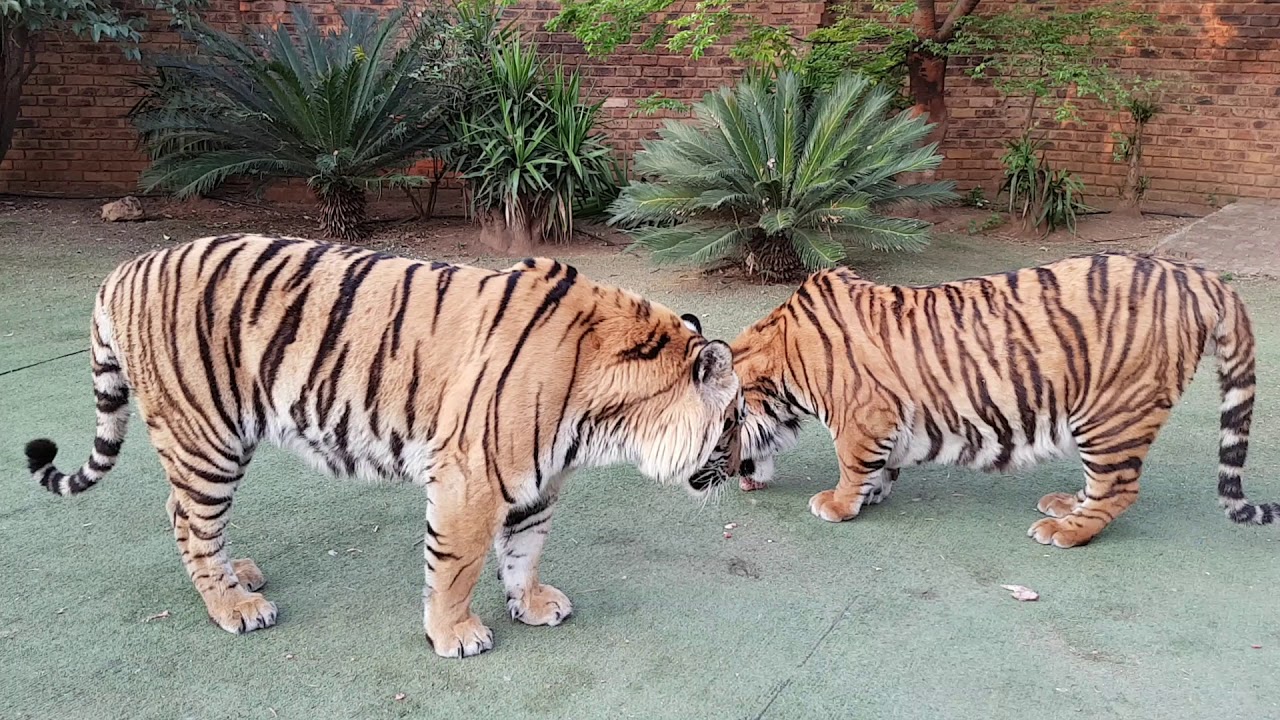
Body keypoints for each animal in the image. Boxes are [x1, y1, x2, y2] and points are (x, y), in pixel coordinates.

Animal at [24, 234, 742, 658]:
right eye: (734, 420)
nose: (740, 470)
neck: (607, 420)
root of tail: (121, 270)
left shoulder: (537, 483)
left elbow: (526, 549)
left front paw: (531, 603)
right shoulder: (471, 480)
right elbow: (456, 566)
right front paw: (454, 634)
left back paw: (240, 574)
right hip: (204, 435)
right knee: (187, 519)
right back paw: (234, 606)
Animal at [693, 252, 1277, 547]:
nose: (703, 480)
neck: (783, 358)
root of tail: (1199, 274)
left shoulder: (864, 415)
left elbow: (852, 464)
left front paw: (838, 504)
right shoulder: (892, 418)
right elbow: (883, 464)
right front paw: (874, 494)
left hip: (1113, 414)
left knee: (1119, 489)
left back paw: (1063, 530)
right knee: (1104, 486)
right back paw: (1065, 504)